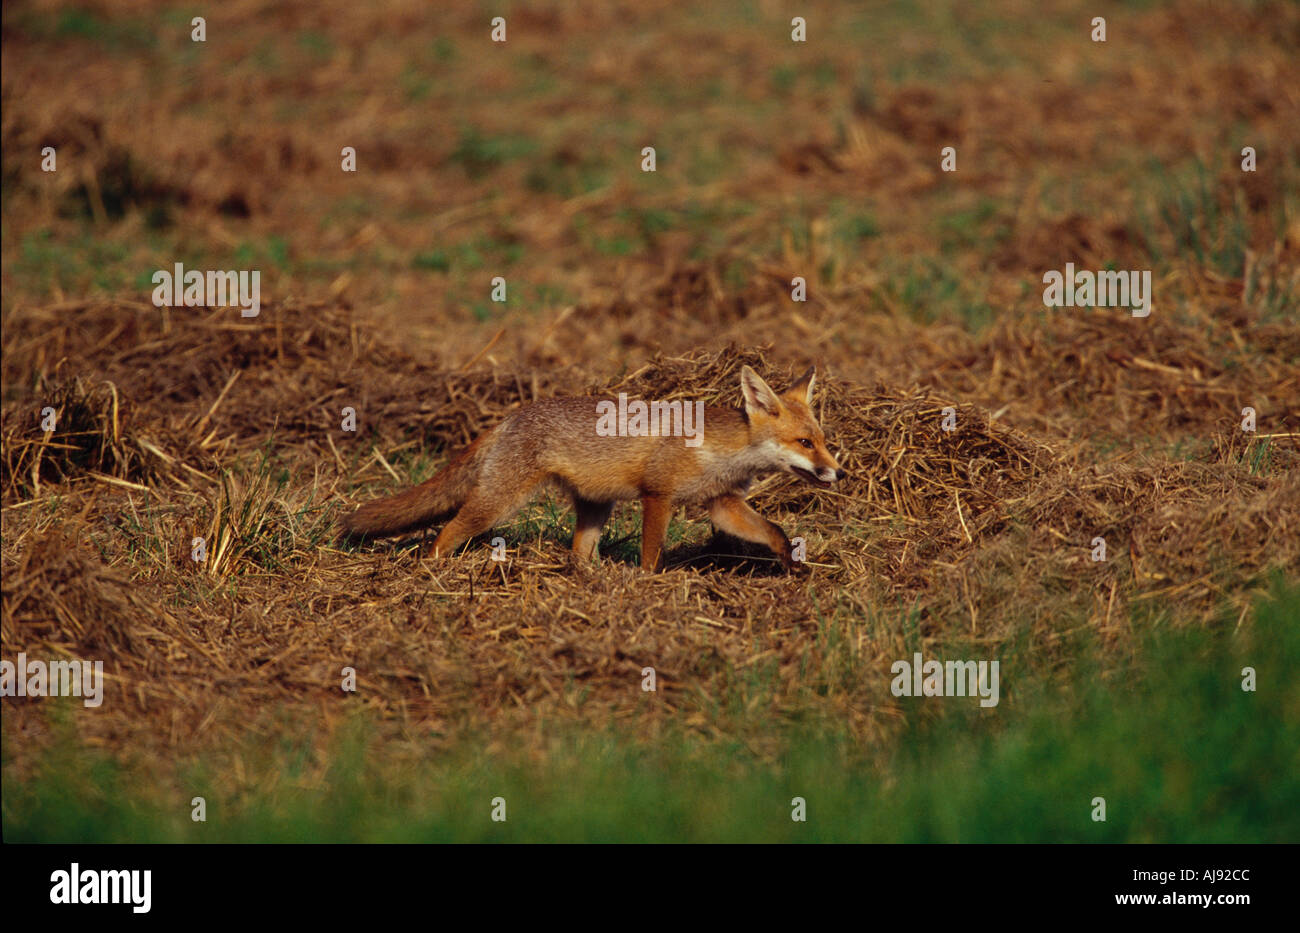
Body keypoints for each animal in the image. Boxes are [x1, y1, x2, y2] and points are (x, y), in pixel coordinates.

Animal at [339, 365, 845, 572]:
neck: (721, 452)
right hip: (495, 505)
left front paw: (789, 562)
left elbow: (774, 531)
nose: (839, 473)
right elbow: (651, 554)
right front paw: (647, 586)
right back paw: (431, 574)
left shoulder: (722, 503)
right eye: (804, 443)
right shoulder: (657, 495)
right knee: (444, 535)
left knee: (578, 554)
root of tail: (509, 416)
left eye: (823, 441)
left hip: (595, 508)